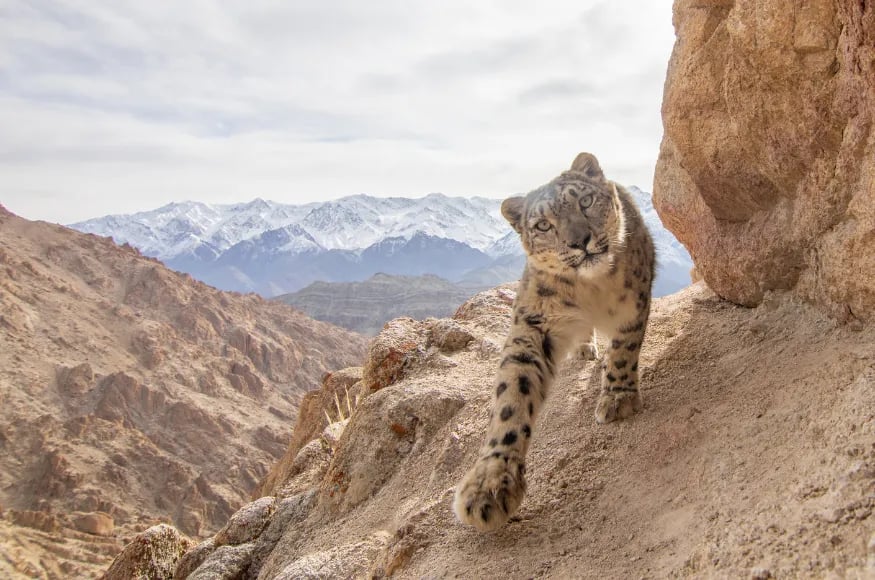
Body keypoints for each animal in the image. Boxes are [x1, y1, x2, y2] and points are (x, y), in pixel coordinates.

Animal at [453, 152, 655, 532]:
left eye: (585, 202)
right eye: (543, 226)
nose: (580, 240)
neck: (591, 290)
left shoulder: (633, 303)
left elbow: (624, 350)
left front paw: (618, 398)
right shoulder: (534, 324)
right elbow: (512, 395)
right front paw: (491, 484)